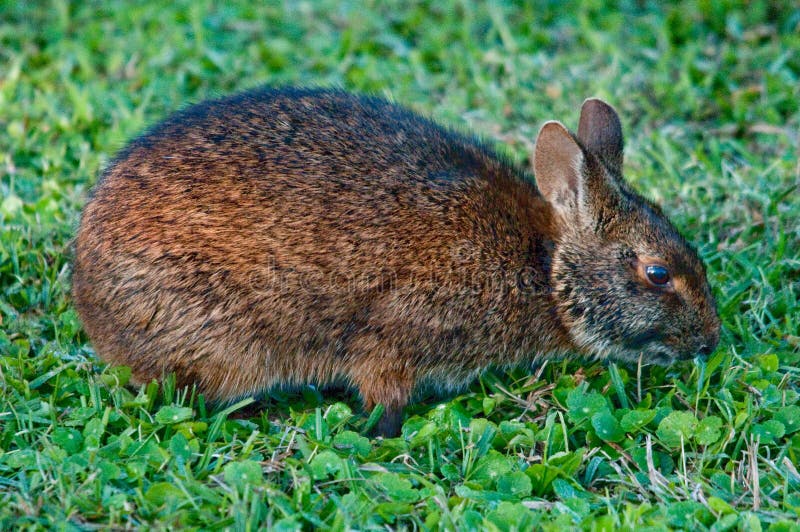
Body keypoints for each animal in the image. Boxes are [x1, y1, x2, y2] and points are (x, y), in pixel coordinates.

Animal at [72, 87, 721, 436]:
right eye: (657, 274)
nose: (711, 340)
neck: (545, 268)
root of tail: (90, 297)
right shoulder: (398, 334)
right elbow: (384, 392)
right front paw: (385, 435)